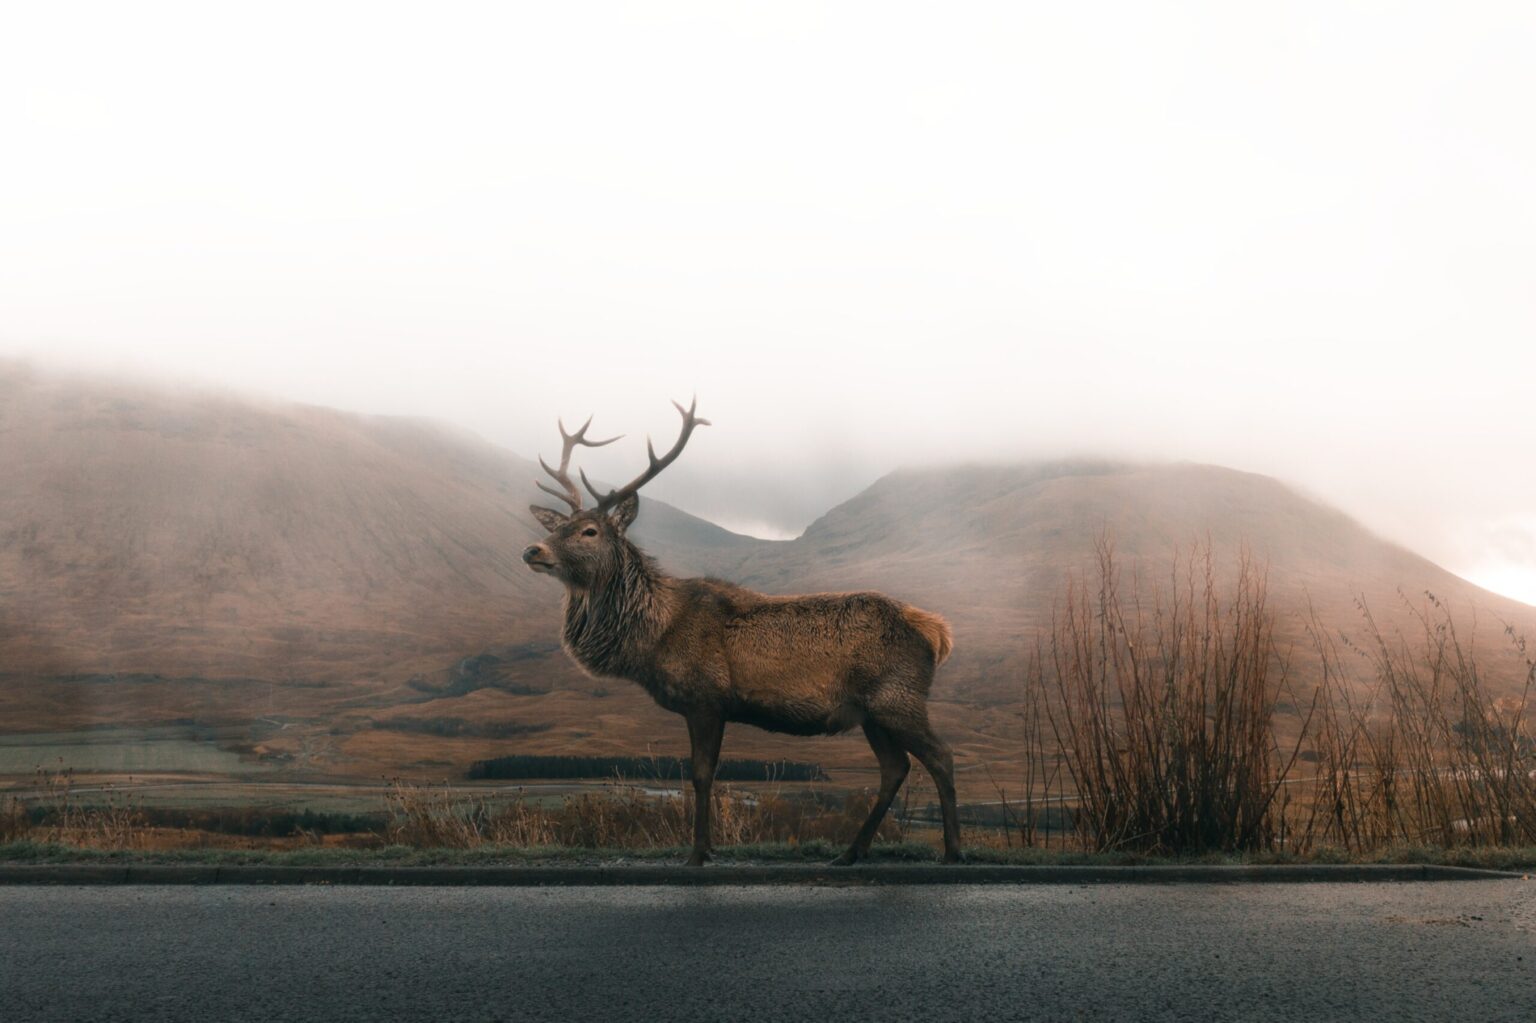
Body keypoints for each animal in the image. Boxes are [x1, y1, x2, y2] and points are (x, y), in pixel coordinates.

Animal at [521, 398, 962, 866]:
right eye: (555, 527)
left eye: (589, 531)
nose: (533, 550)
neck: (652, 638)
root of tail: (937, 632)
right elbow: (707, 775)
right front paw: (710, 846)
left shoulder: (706, 698)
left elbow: (700, 774)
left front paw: (697, 853)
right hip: (871, 712)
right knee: (895, 767)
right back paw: (850, 852)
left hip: (898, 698)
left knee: (941, 755)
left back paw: (952, 850)